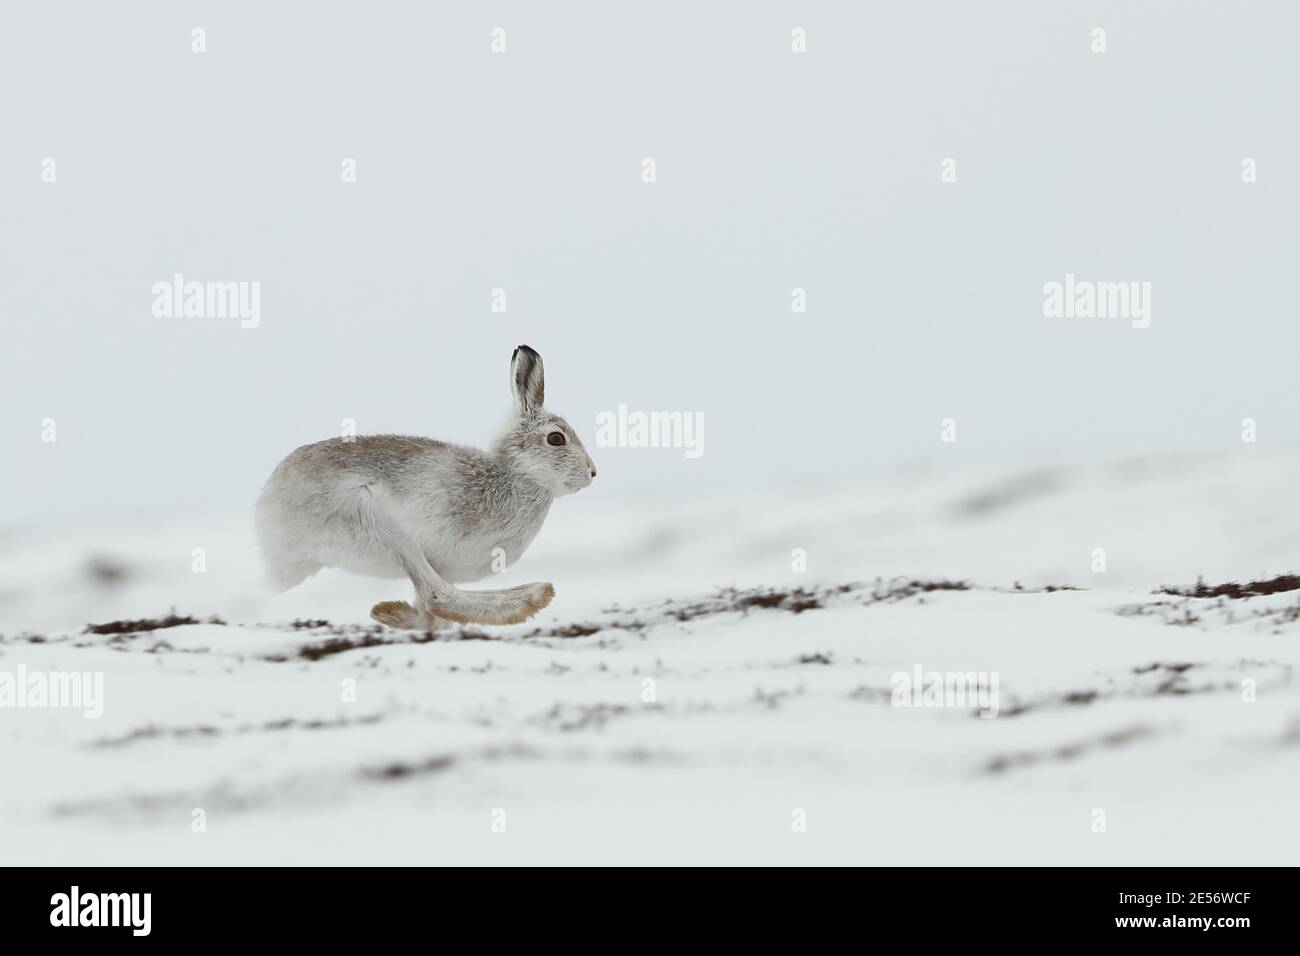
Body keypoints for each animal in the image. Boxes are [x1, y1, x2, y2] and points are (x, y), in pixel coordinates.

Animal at [255, 345, 596, 630]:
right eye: (556, 438)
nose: (592, 472)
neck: (515, 473)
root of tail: (267, 509)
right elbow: (434, 601)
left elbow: (432, 616)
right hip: (373, 514)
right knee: (436, 592)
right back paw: (534, 595)